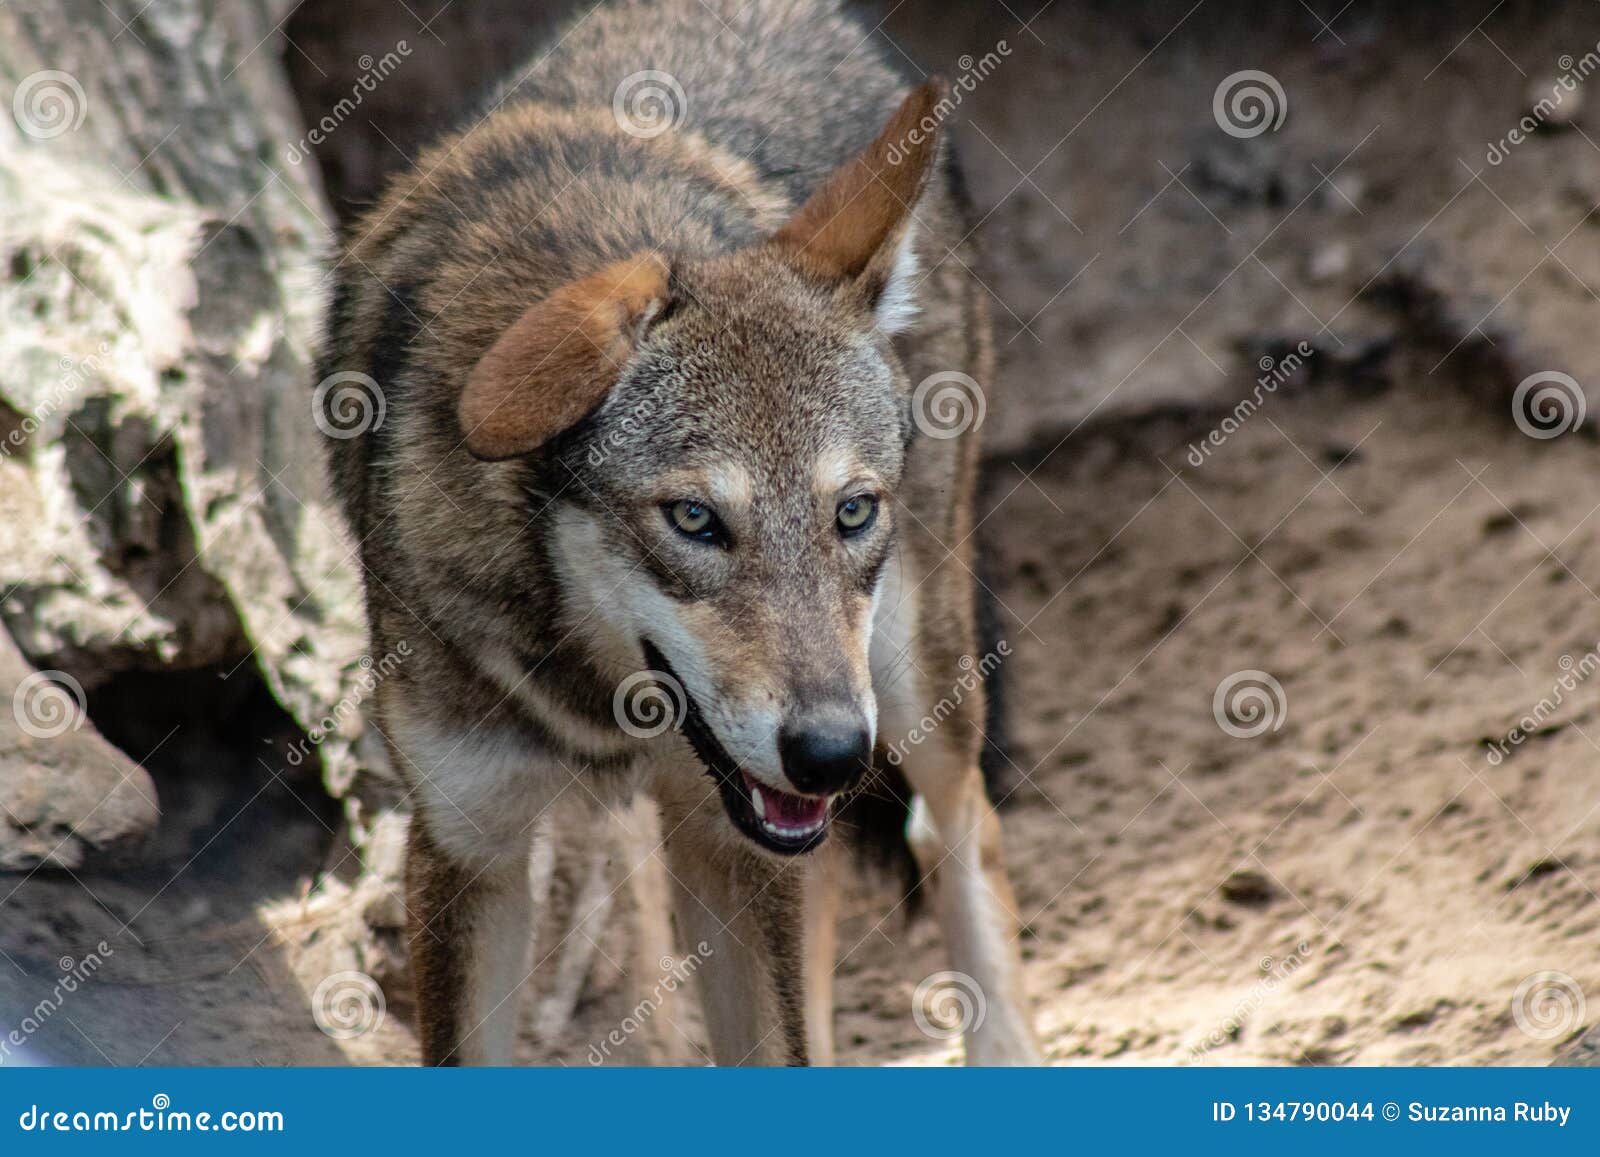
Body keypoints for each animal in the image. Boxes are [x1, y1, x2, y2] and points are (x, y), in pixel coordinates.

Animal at [317, 0, 1041, 1065]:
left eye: (852, 511)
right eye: (695, 519)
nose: (831, 753)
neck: (597, 702)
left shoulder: (734, 836)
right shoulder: (467, 848)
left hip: (914, 680)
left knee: (957, 833)